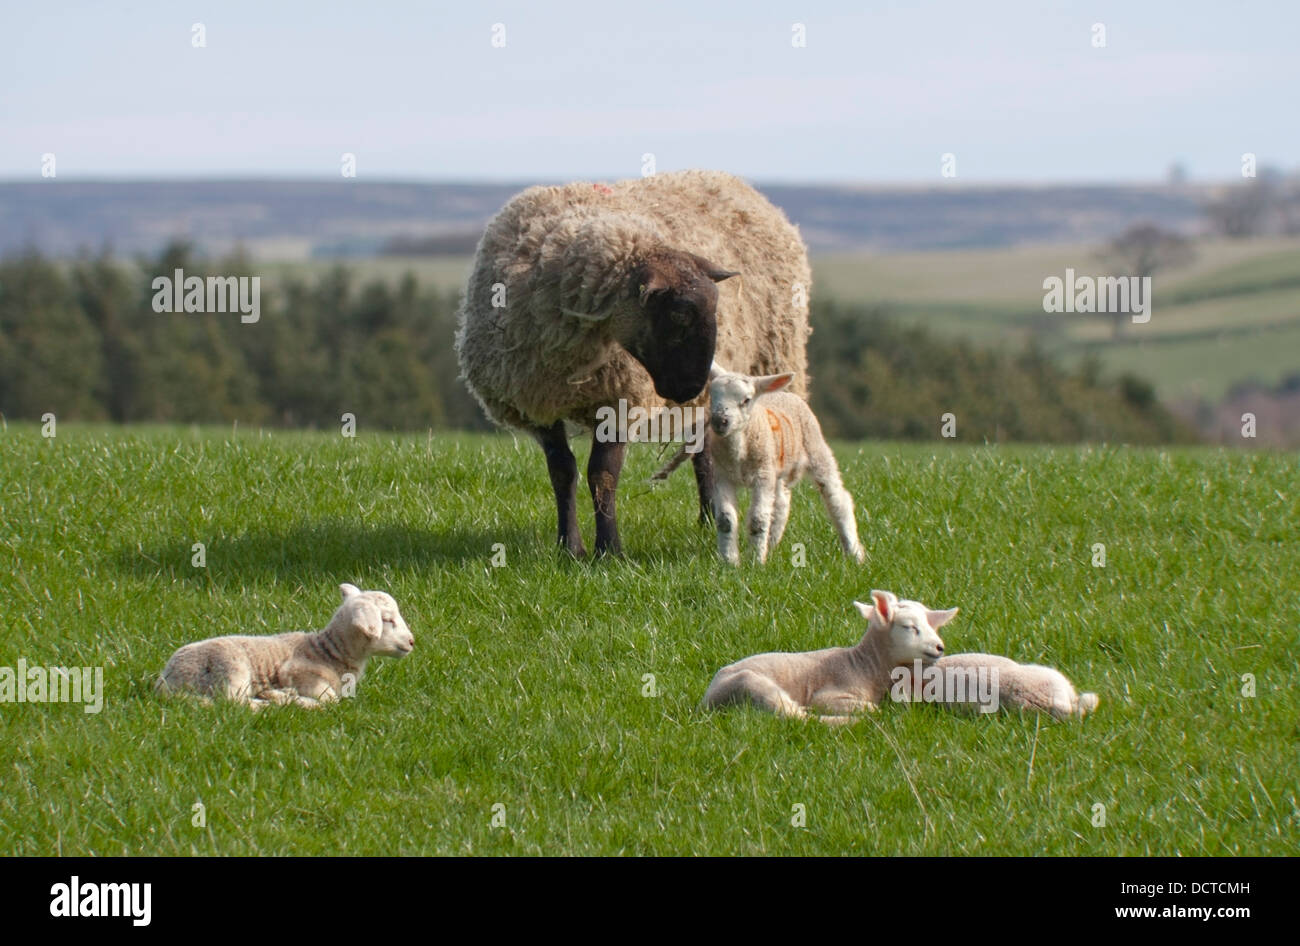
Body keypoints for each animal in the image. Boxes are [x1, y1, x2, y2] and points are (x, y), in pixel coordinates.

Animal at [155, 584, 414, 709]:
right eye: (388, 620)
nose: (412, 641)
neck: (329, 653)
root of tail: (165, 681)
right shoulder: (300, 674)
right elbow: (331, 700)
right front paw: (301, 700)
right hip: (230, 668)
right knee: (234, 704)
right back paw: (276, 700)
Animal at [455, 169, 813, 557]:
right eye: (679, 313)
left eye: (718, 307)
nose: (691, 387)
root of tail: (733, 181)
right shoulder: (538, 403)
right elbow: (562, 472)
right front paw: (570, 547)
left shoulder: (620, 400)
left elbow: (603, 473)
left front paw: (609, 550)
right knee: (705, 456)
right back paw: (708, 518)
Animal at [702, 590, 956, 725]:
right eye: (909, 627)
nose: (940, 647)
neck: (865, 666)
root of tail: (706, 700)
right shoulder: (827, 695)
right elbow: (872, 708)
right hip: (753, 685)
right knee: (799, 718)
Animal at [703, 365, 864, 565]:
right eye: (712, 396)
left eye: (746, 400)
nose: (719, 421)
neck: (739, 453)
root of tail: (786, 394)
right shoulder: (722, 476)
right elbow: (726, 520)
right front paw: (730, 561)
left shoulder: (763, 474)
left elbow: (758, 520)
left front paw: (755, 562)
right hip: (778, 469)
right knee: (781, 503)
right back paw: (771, 544)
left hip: (816, 449)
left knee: (837, 499)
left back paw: (854, 553)